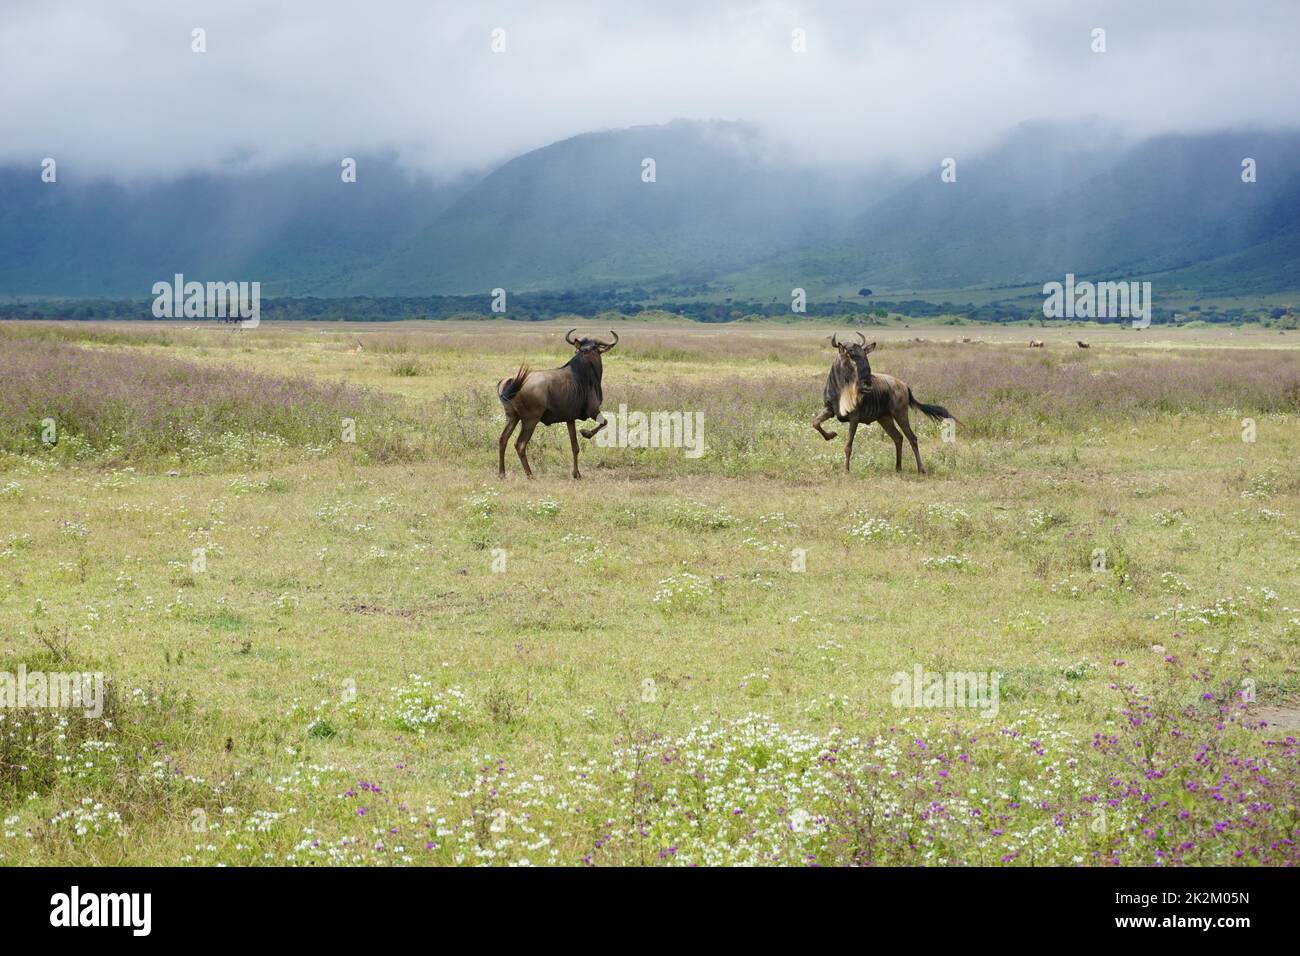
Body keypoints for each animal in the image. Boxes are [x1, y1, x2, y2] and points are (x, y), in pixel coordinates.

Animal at [496, 329, 617, 479]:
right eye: (589, 347)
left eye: (594, 347)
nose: (584, 350)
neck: (584, 372)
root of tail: (513, 381)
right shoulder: (593, 411)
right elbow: (605, 422)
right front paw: (585, 433)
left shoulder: (570, 418)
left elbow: (575, 447)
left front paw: (576, 474)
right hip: (530, 419)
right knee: (520, 444)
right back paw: (530, 475)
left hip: (512, 417)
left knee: (503, 439)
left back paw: (502, 474)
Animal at [812, 332, 957, 474]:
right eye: (850, 357)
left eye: (865, 356)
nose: (867, 386)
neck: (842, 389)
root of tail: (904, 385)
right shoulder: (829, 409)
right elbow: (815, 423)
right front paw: (831, 435)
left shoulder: (854, 416)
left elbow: (848, 445)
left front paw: (846, 471)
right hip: (884, 418)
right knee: (898, 437)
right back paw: (898, 467)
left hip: (900, 414)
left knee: (912, 438)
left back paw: (921, 469)